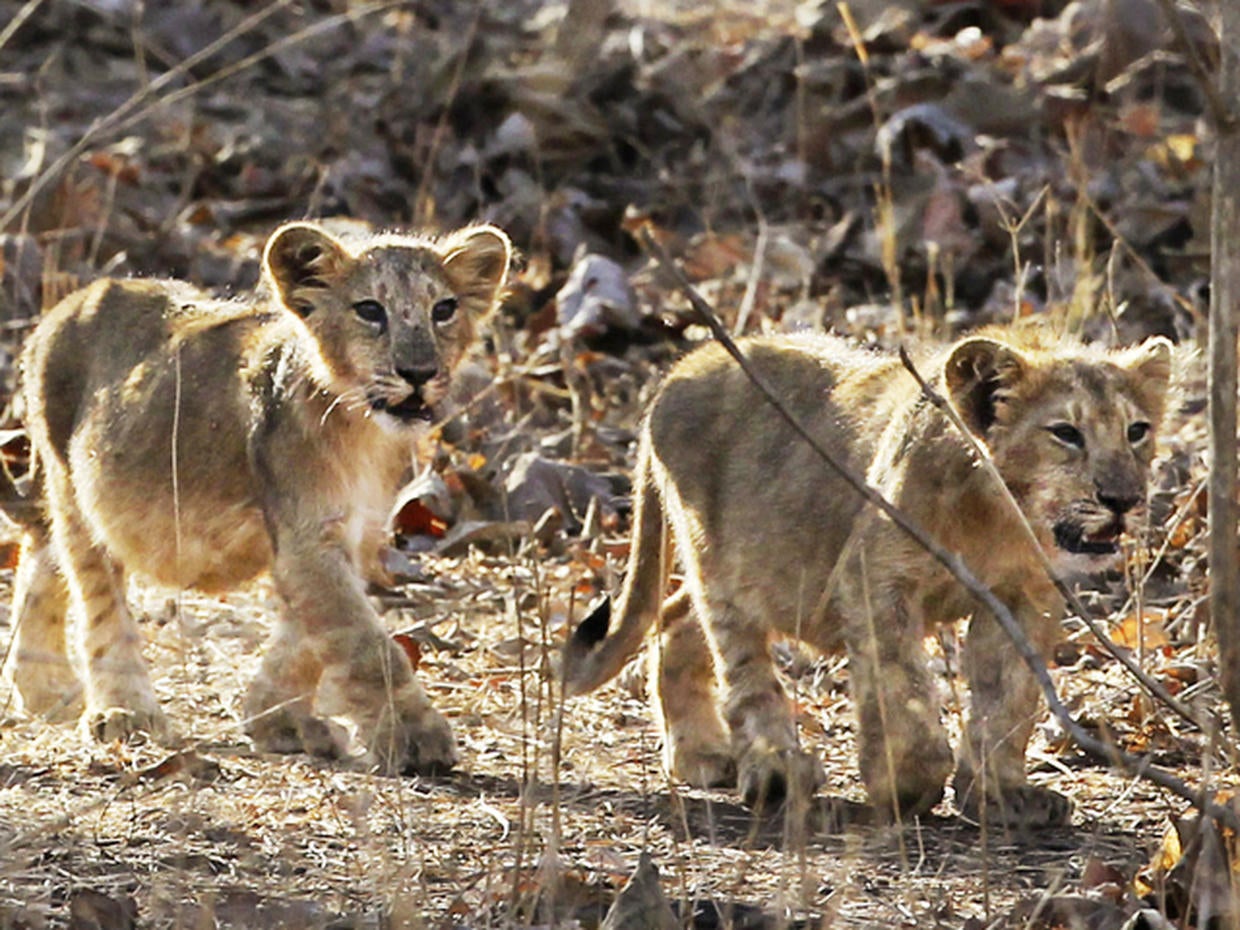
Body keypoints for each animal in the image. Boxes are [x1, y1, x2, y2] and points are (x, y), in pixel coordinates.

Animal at [3, 220, 511, 775]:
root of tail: (64, 306)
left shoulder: (345, 534)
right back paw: (123, 712)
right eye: (369, 310)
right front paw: (417, 737)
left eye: (444, 309)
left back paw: (46, 688)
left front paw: (277, 719)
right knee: (96, 594)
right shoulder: (307, 535)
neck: (360, 428)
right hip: (74, 488)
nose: (418, 372)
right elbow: (364, 641)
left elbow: (305, 636)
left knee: (42, 558)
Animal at [563, 328, 1172, 827]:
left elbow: (1009, 696)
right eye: (1065, 432)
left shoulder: (1024, 595)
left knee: (672, 623)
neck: (998, 514)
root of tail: (679, 368)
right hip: (718, 561)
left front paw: (1001, 794)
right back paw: (777, 773)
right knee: (742, 667)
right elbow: (900, 682)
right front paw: (907, 783)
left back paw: (702, 755)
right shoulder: (876, 578)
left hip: (760, 573)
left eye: (1137, 430)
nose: (1123, 499)